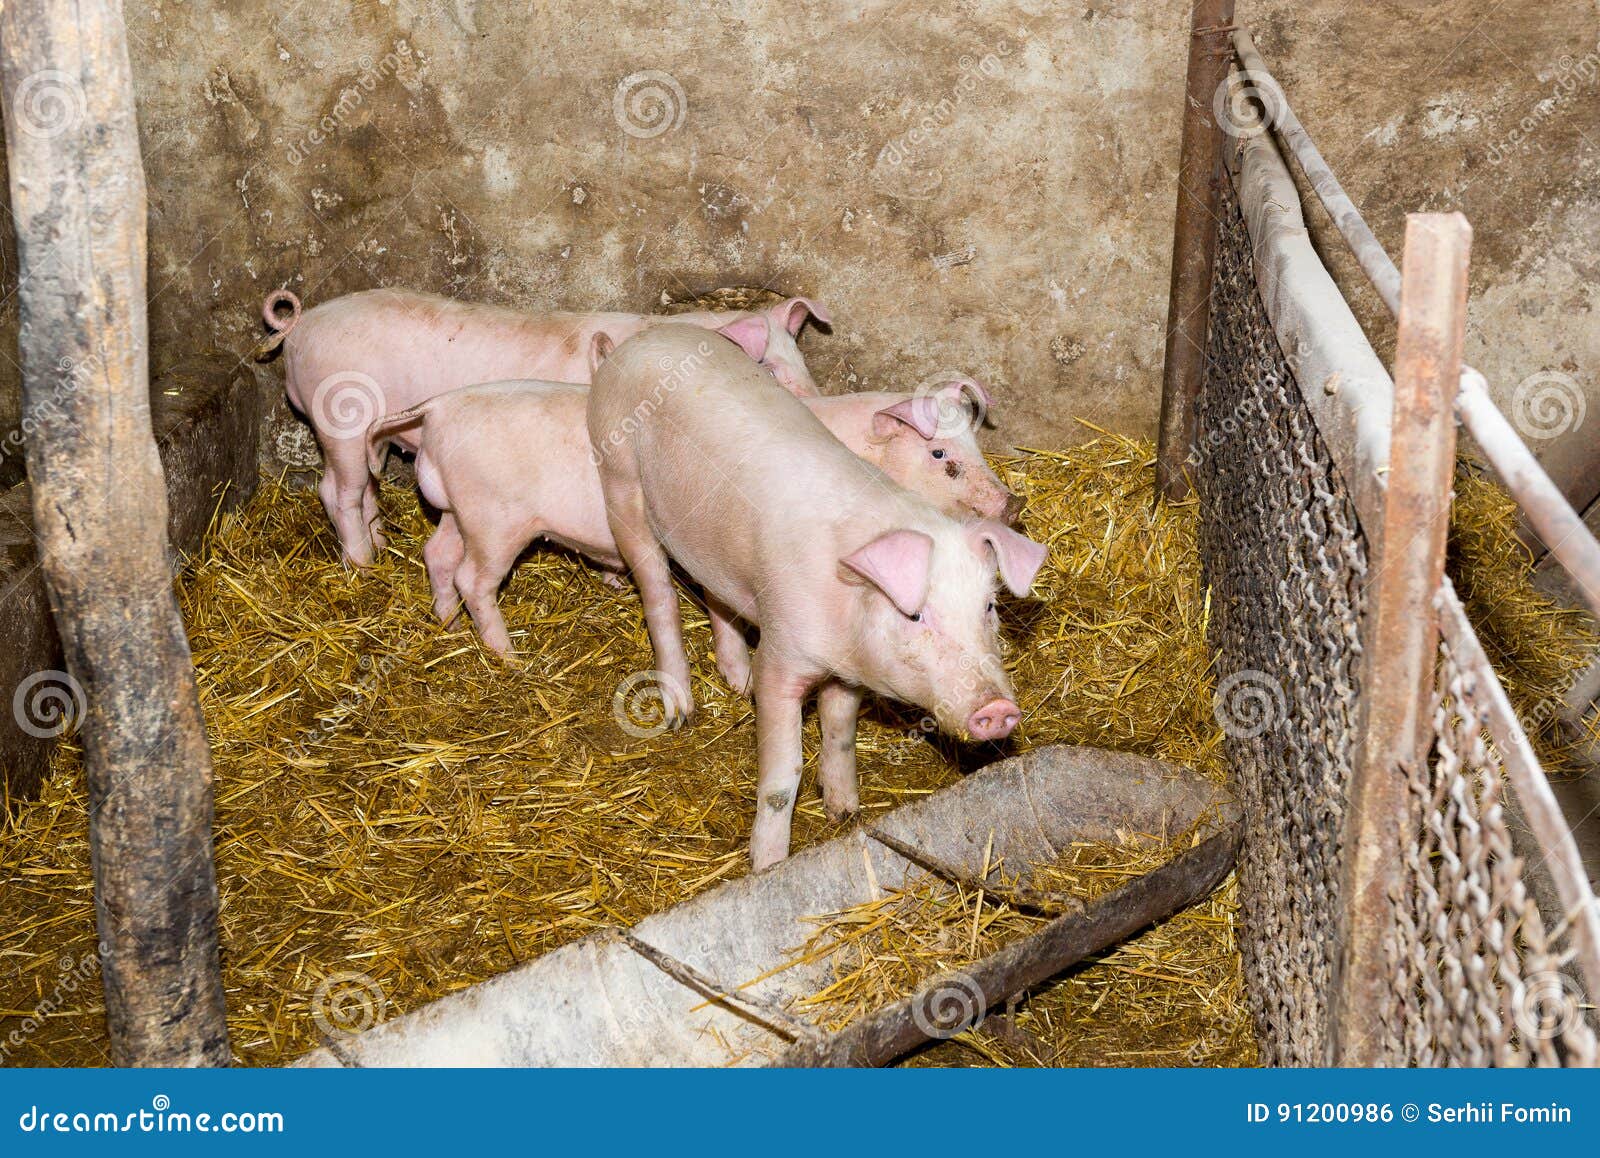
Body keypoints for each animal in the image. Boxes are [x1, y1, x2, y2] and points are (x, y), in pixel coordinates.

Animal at [263, 286, 831, 567]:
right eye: (767, 370)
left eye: (801, 362)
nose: (816, 407)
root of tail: (301, 325)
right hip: (338, 419)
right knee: (336, 490)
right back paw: (363, 563)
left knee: (364, 487)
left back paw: (380, 544)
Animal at [366, 348, 1020, 665]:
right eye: (940, 454)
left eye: (974, 440)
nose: (1009, 503)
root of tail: (439, 410)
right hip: (496, 519)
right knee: (475, 579)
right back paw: (511, 656)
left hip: (461, 513)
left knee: (435, 553)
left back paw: (447, 624)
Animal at [587, 320, 1047, 869]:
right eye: (916, 617)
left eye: (989, 607)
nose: (997, 709)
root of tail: (636, 342)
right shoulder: (782, 654)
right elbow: (783, 776)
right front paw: (768, 865)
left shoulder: (847, 675)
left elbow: (841, 731)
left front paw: (844, 813)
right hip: (620, 482)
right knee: (658, 593)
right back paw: (681, 710)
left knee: (715, 594)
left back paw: (737, 681)